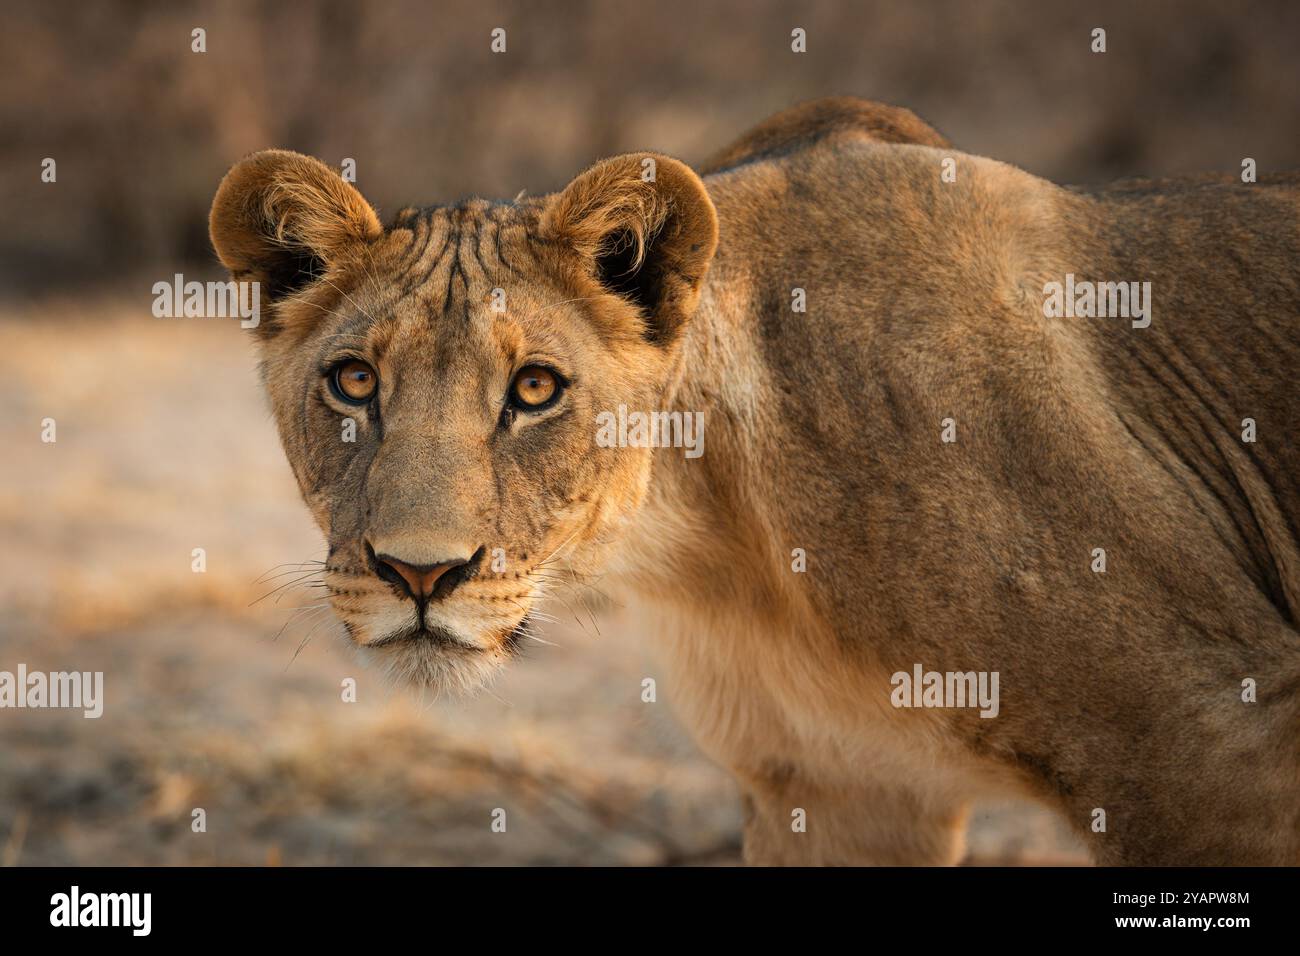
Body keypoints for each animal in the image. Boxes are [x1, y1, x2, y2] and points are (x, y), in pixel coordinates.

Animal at [210, 97, 1300, 865]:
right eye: (354, 382)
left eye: (535, 389)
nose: (419, 574)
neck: (713, 549)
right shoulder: (839, 792)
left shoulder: (1213, 746)